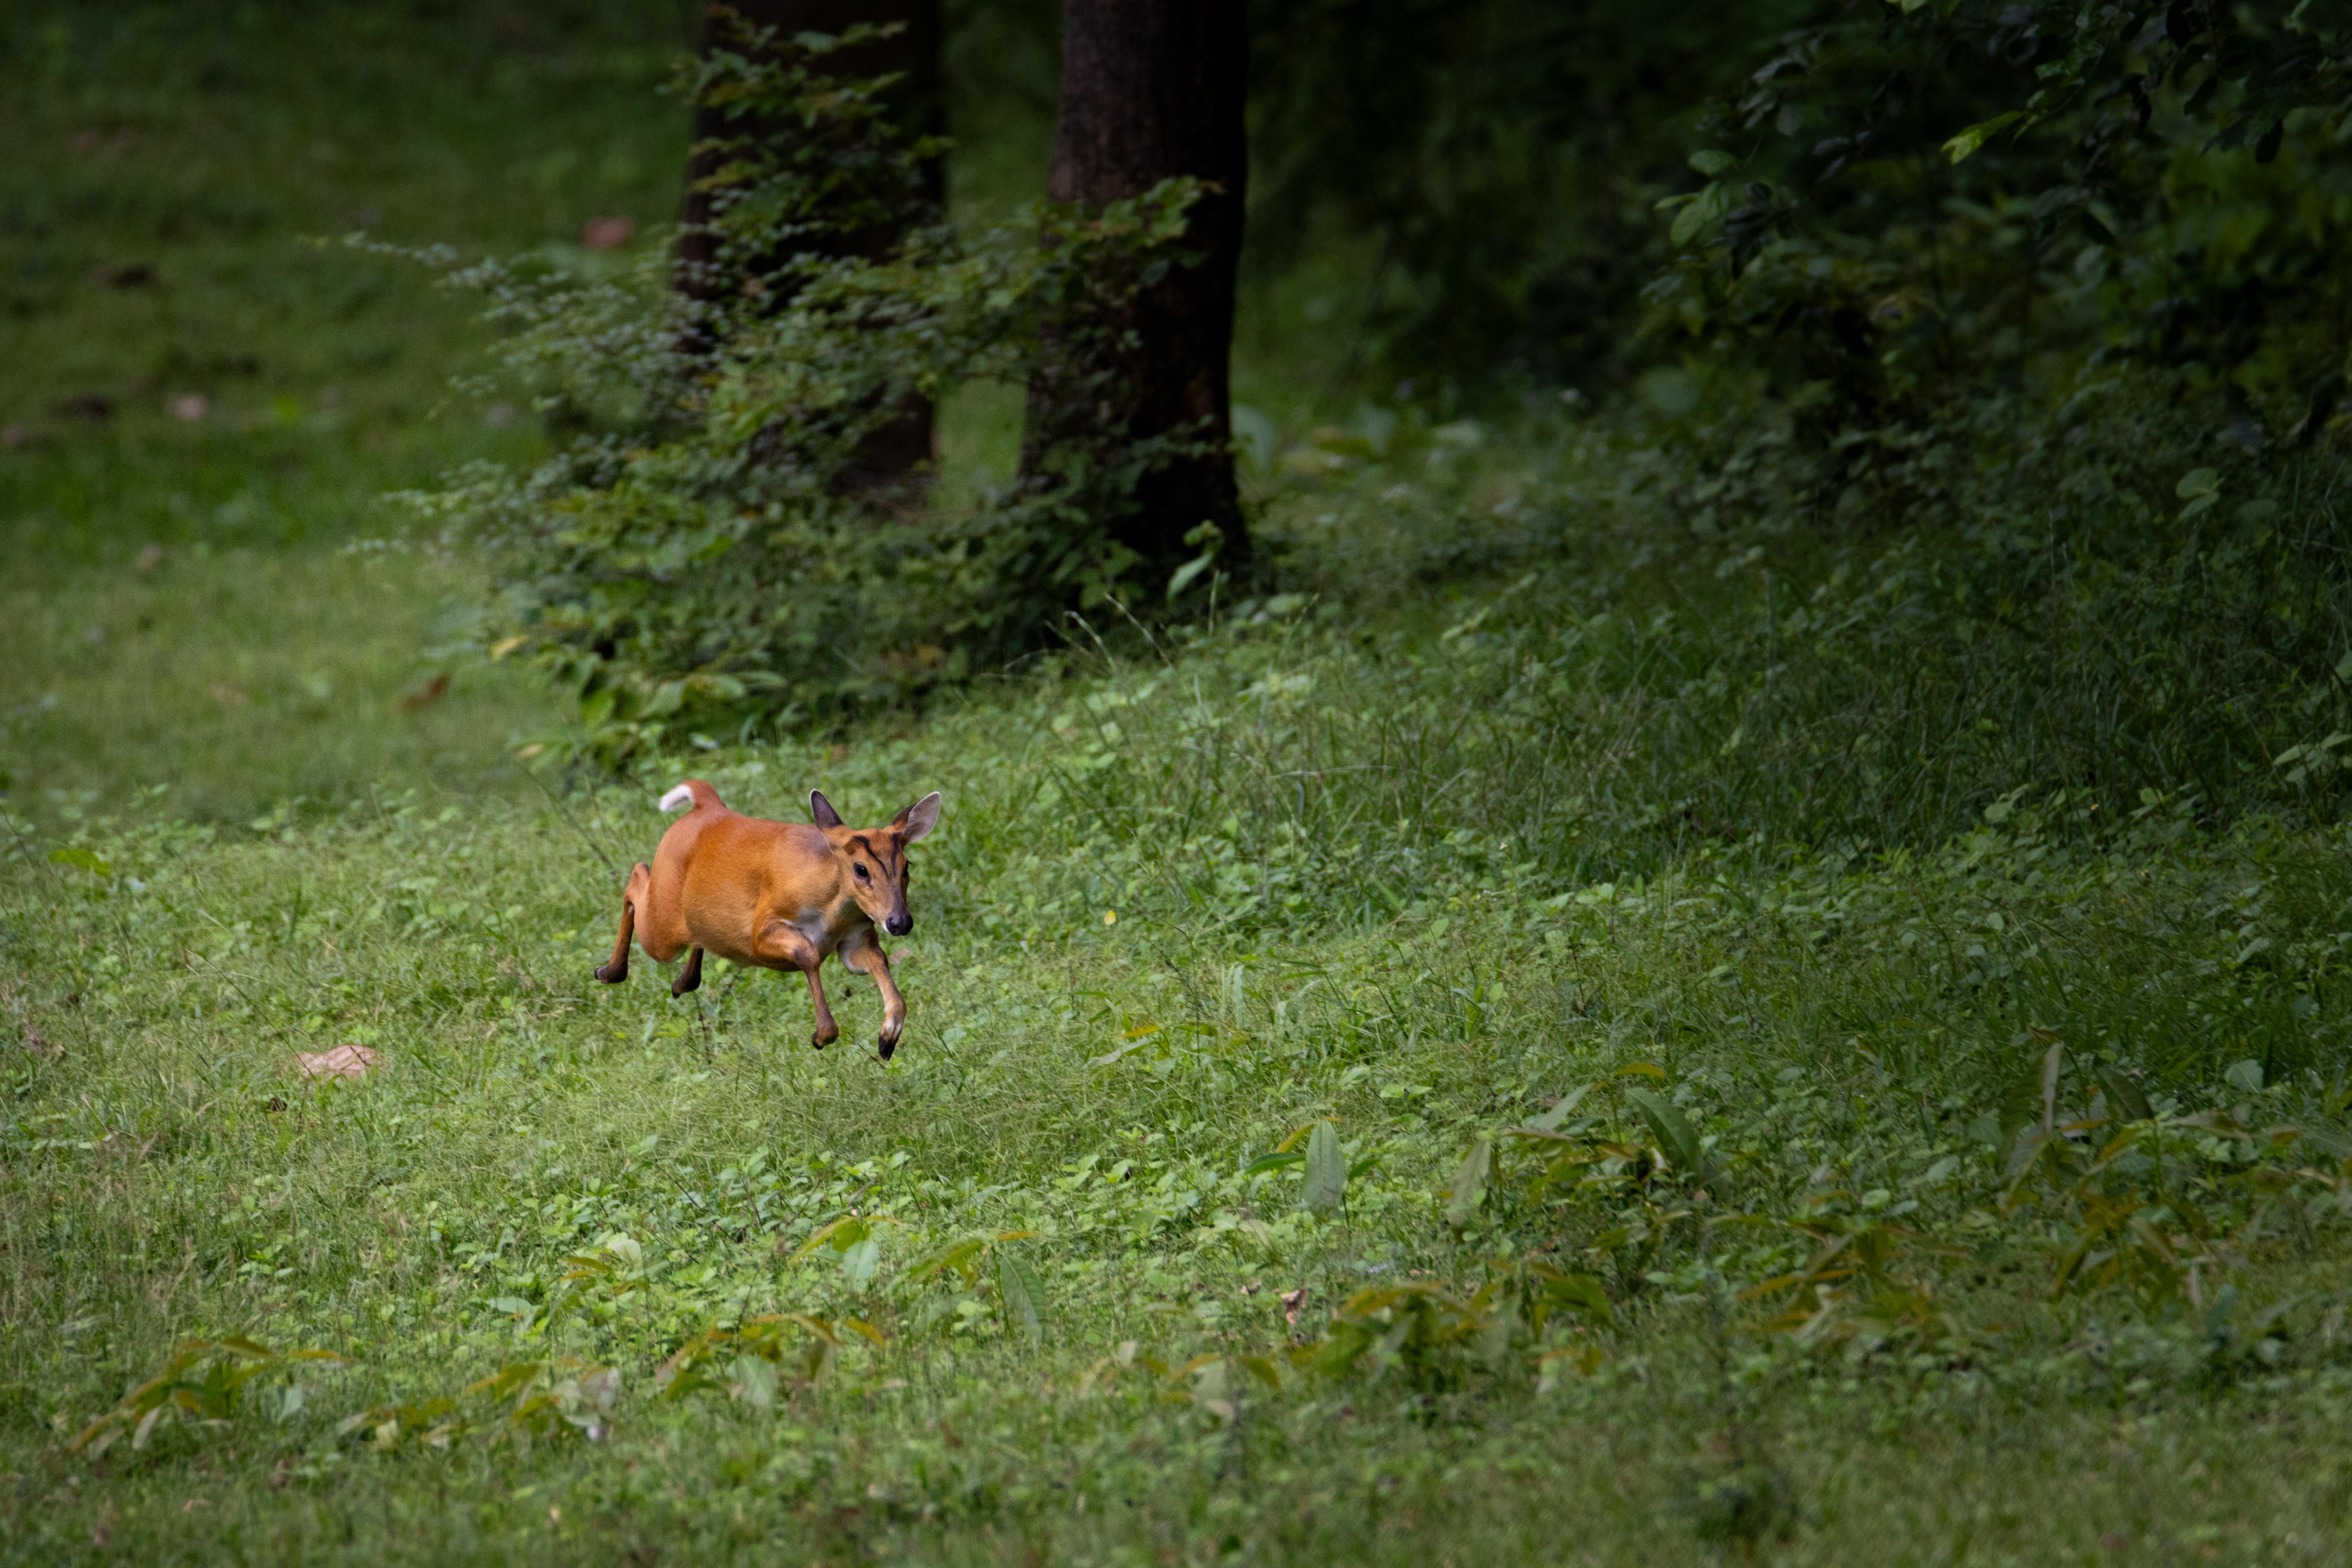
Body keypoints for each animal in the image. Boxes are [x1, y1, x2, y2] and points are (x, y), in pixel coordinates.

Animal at [593, 780, 941, 1061]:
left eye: (907, 866)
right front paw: (822, 1036)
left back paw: (681, 983)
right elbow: (807, 952)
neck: (831, 908)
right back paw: (608, 972)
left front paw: (887, 1039)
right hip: (662, 929)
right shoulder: (761, 930)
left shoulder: (855, 939)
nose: (900, 922)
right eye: (861, 869)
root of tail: (708, 805)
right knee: (637, 876)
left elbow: (879, 961)